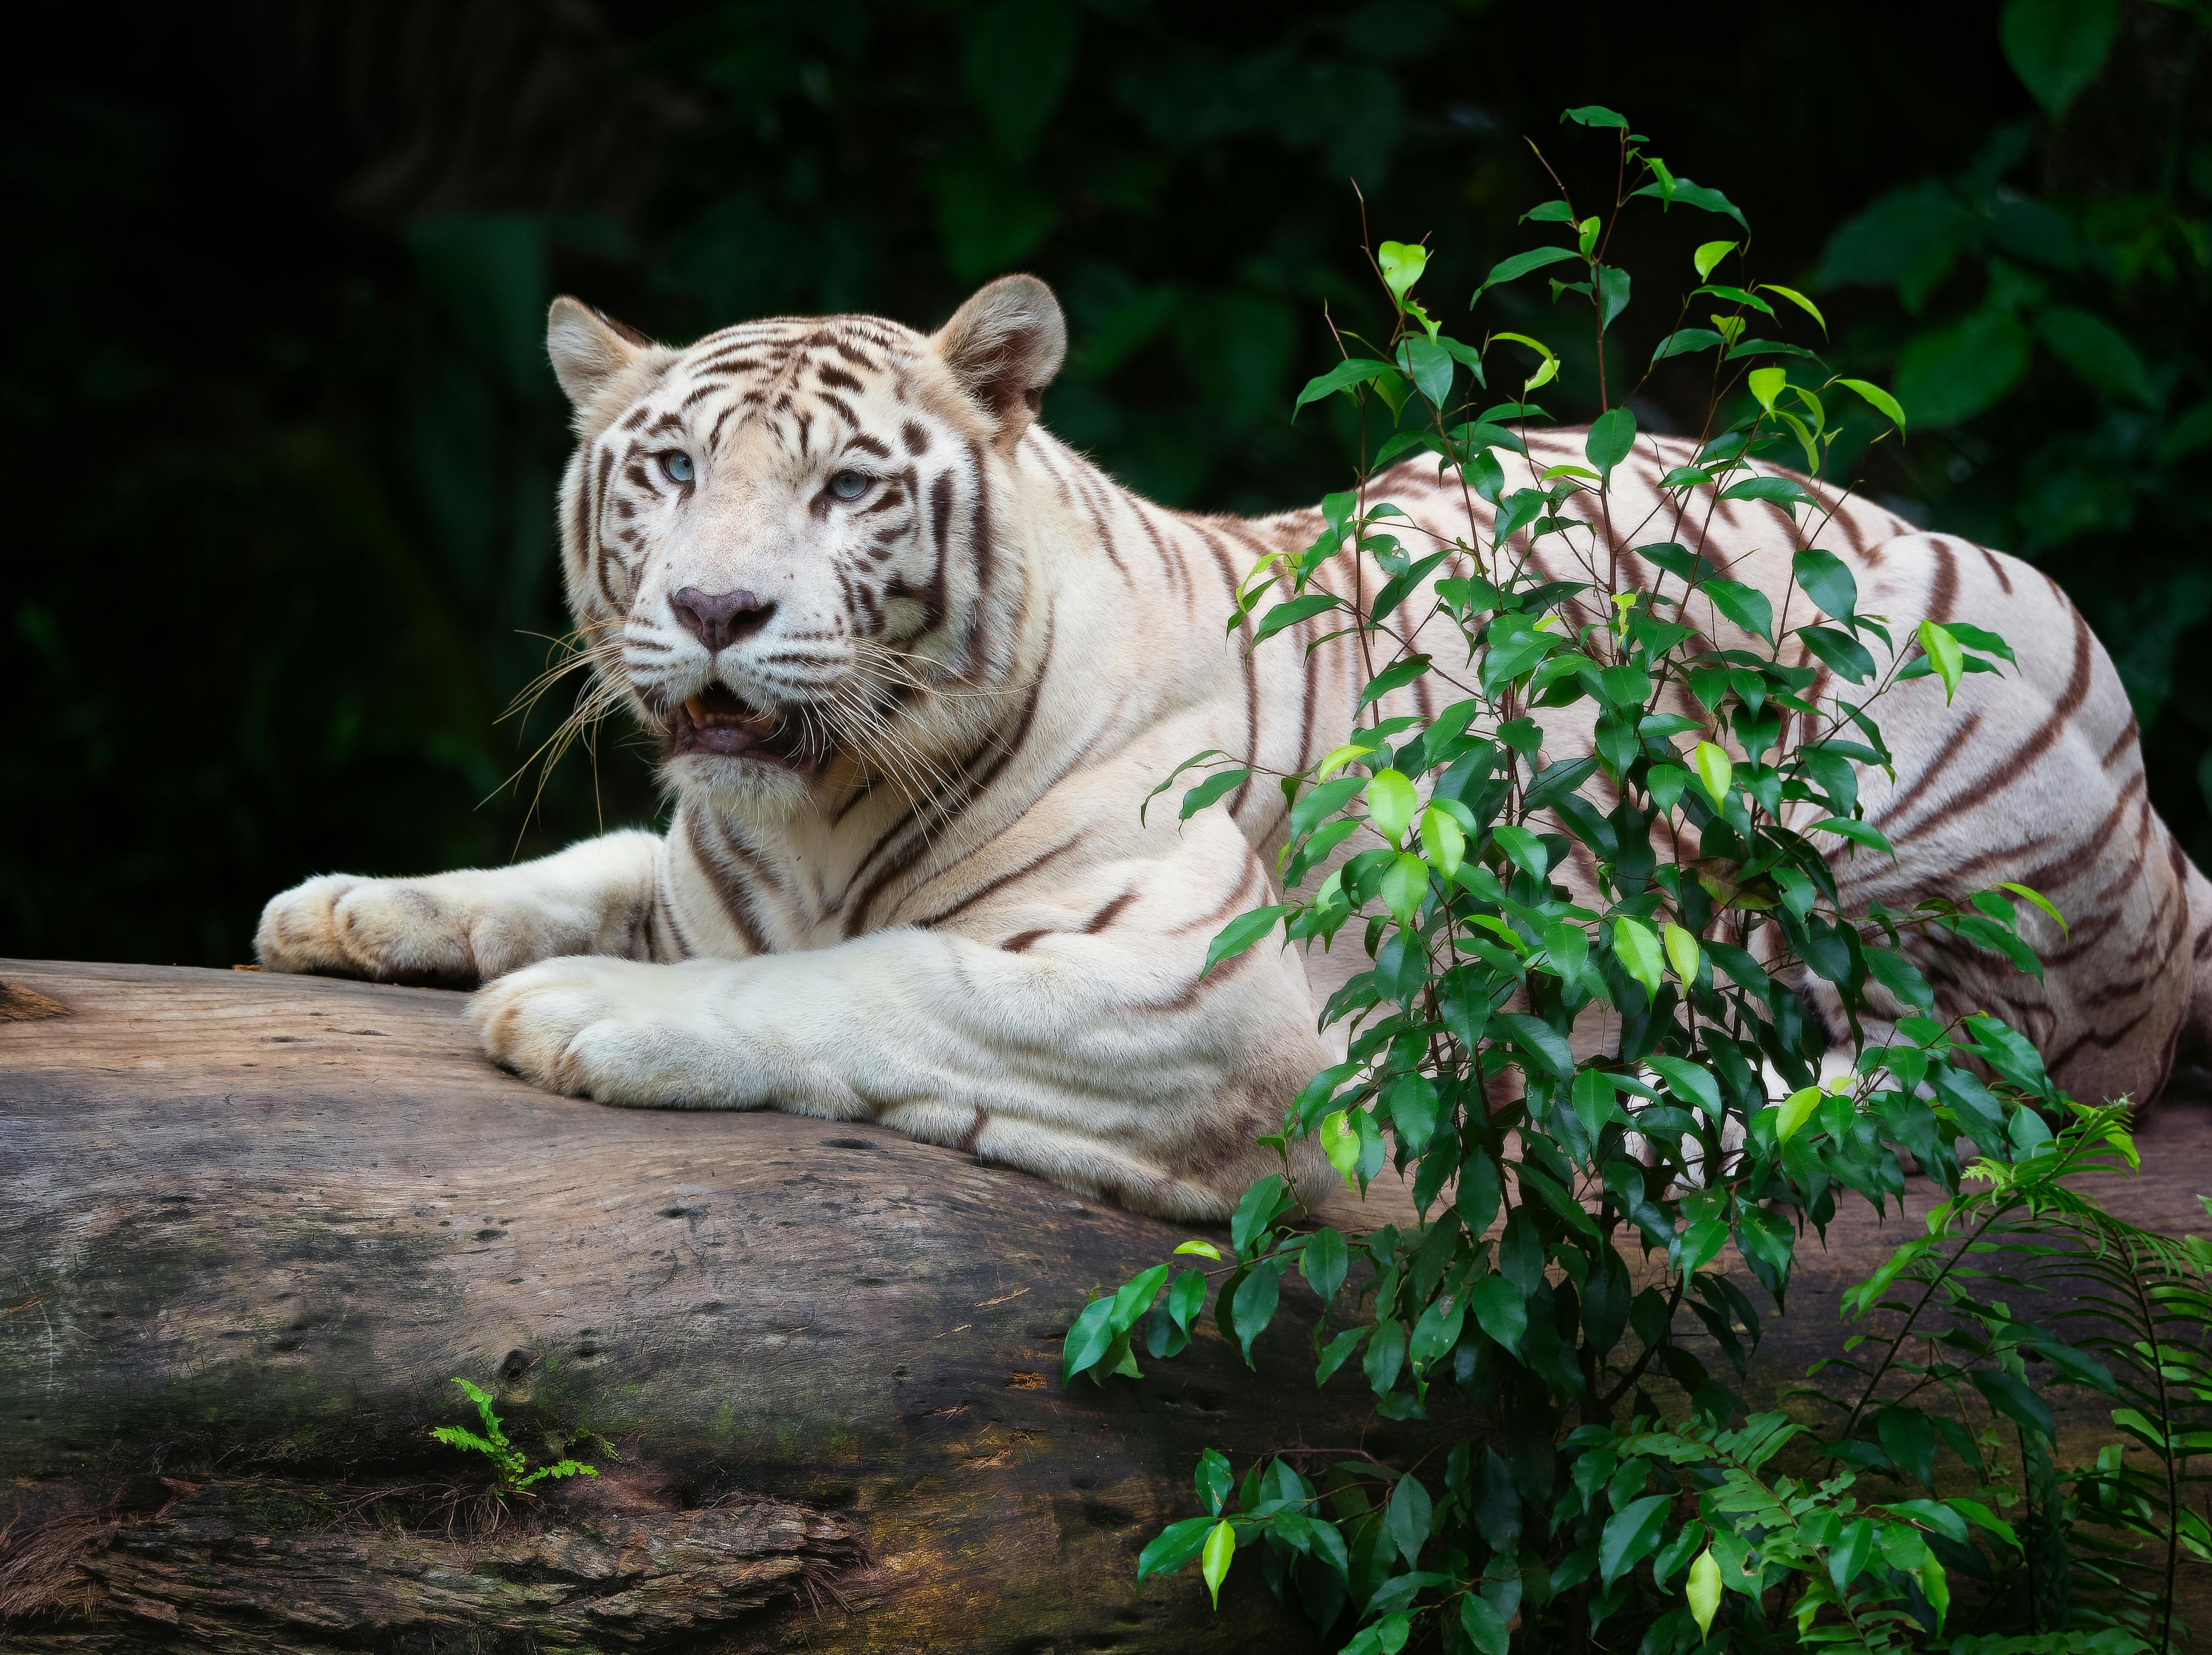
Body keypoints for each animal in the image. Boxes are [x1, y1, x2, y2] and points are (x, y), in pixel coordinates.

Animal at [255, 274, 2212, 1220]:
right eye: (666, 470)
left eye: (848, 488)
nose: (718, 609)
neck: (806, 813)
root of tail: (2164, 842)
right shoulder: (707, 860)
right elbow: (583, 868)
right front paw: (347, 905)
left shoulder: (1192, 980)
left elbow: (870, 978)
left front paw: (582, 1014)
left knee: (1931, 1086)